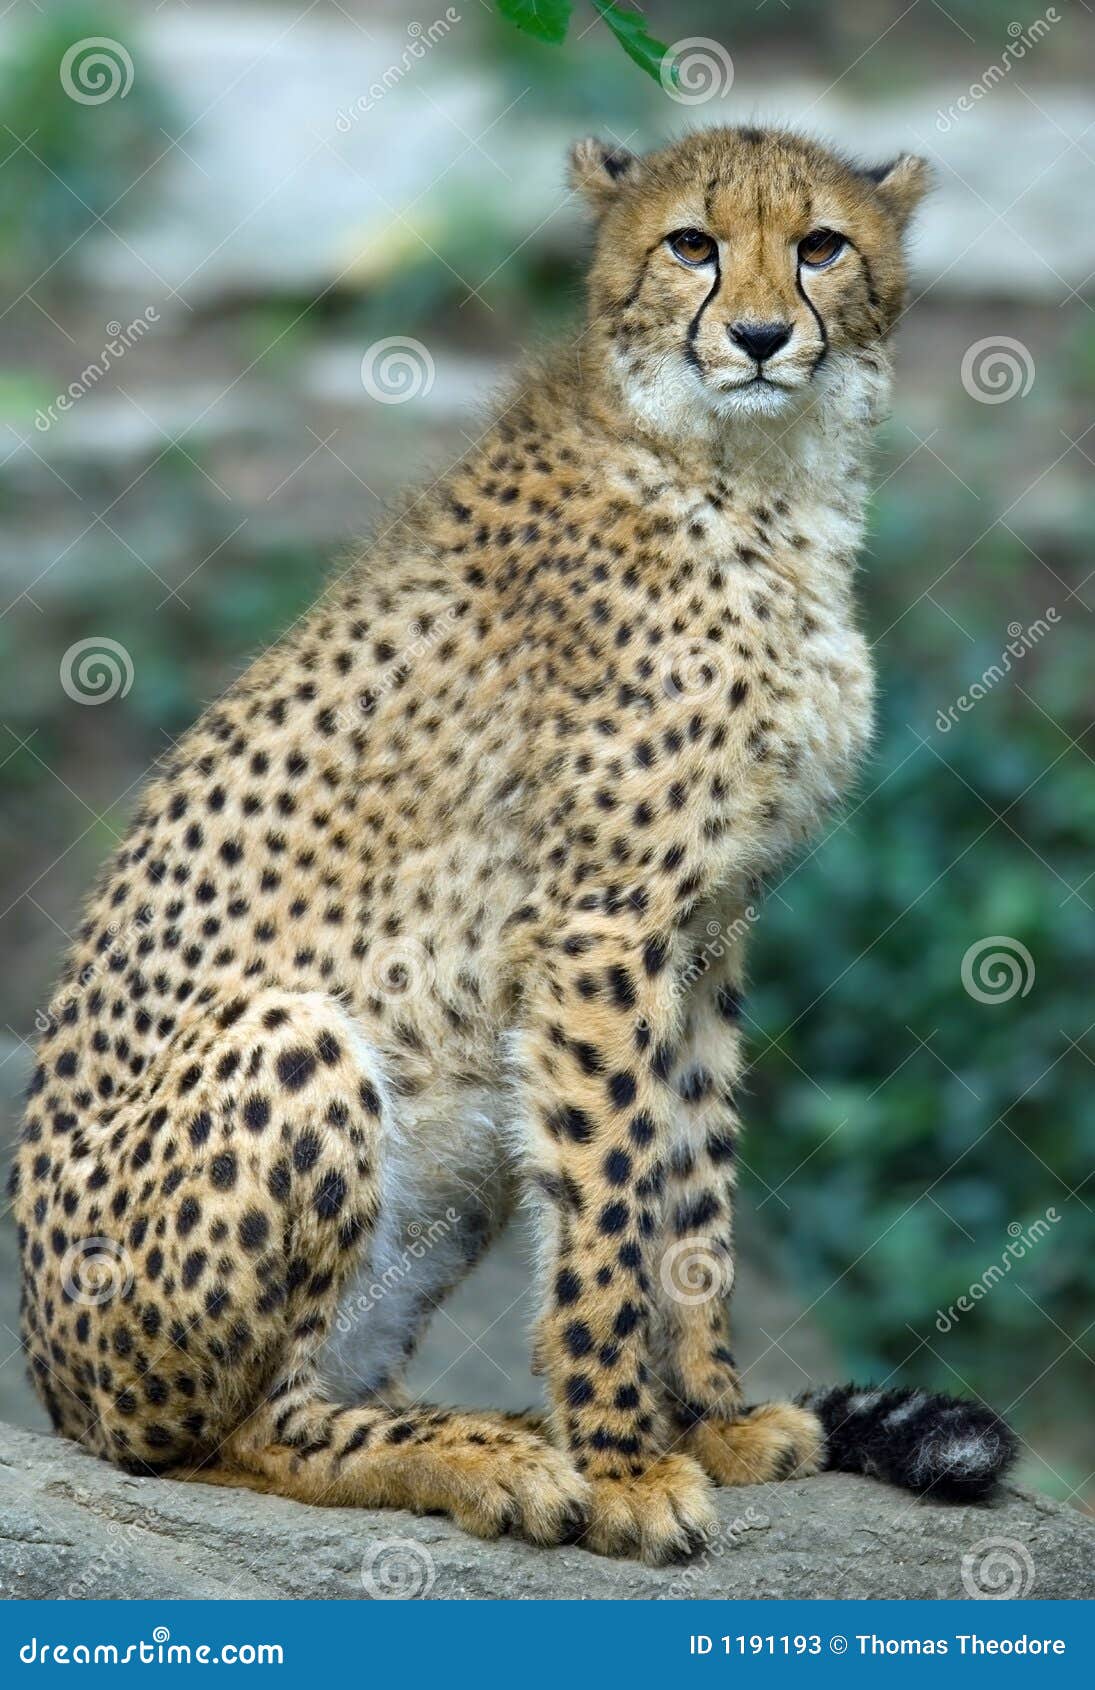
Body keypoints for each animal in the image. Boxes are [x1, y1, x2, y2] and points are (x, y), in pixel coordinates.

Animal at [10, 125, 1016, 1568]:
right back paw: (495, 1456)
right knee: (232, 1435)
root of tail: (55, 1384)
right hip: (291, 1041)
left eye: (822, 244)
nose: (763, 335)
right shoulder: (599, 928)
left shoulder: (702, 935)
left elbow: (689, 1185)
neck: (753, 474)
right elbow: (606, 1208)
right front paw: (625, 1465)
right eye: (691, 244)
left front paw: (709, 1418)